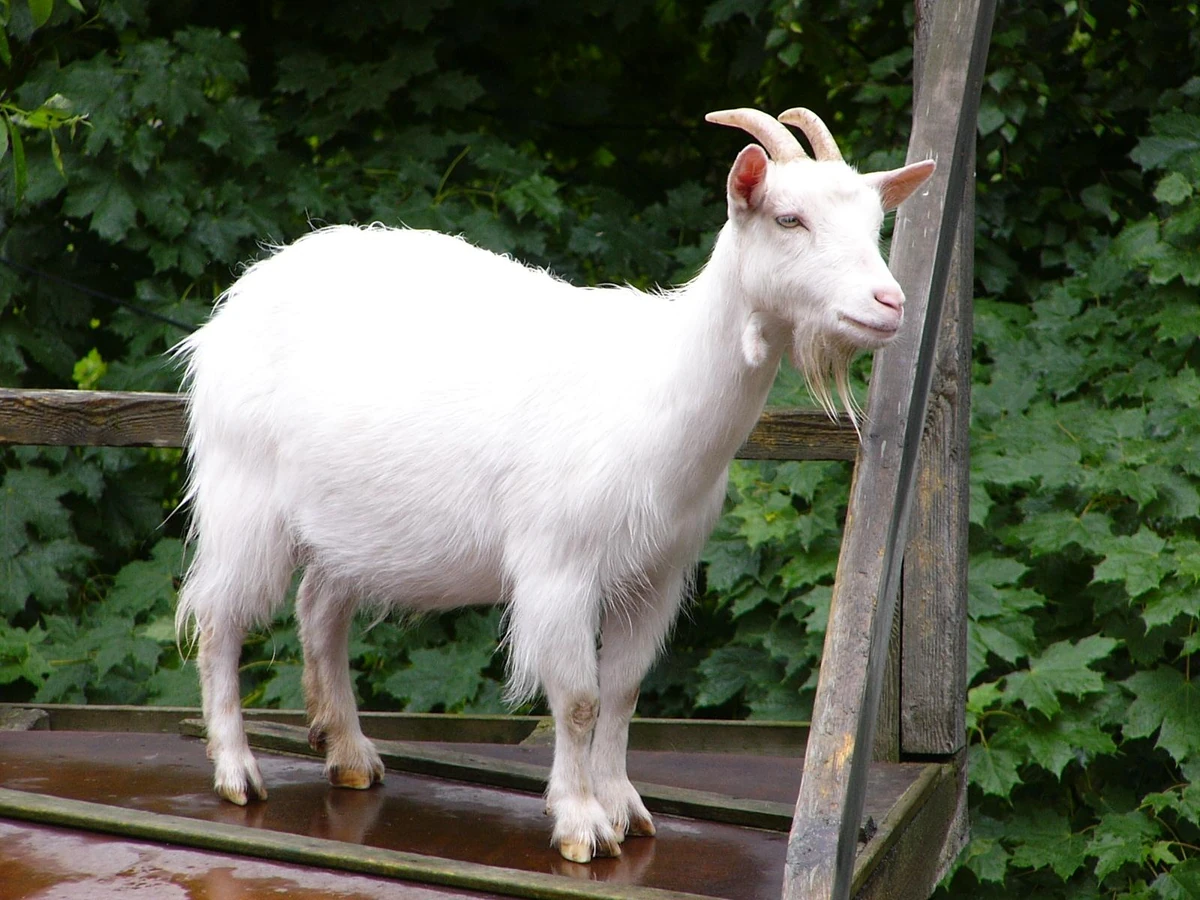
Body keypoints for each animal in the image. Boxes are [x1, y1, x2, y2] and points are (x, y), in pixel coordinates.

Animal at [174, 107, 934, 863]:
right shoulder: (559, 566)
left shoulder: (657, 574)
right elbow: (578, 699)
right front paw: (579, 822)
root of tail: (242, 296)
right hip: (243, 495)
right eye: (788, 218)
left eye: (875, 224)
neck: (658, 388)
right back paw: (236, 770)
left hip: (349, 525)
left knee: (319, 610)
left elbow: (623, 691)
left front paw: (624, 806)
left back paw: (350, 753)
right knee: (218, 619)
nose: (889, 303)